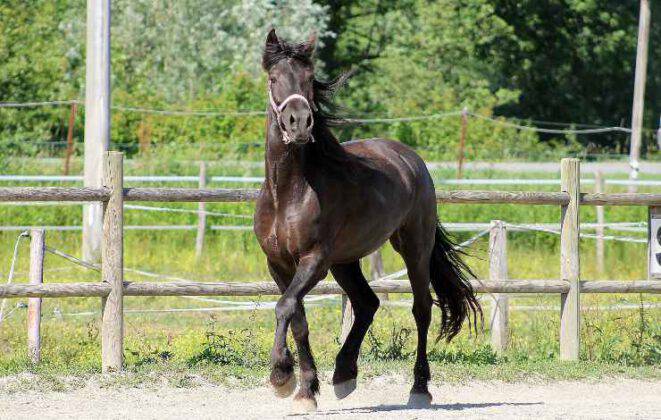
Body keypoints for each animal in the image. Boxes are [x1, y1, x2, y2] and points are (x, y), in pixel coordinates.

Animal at [253, 29, 481, 412]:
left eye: (309, 80)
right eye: (273, 79)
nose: (299, 123)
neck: (288, 192)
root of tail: (411, 159)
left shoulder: (314, 260)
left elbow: (285, 306)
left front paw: (280, 377)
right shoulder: (278, 264)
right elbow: (297, 317)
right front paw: (305, 390)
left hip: (413, 247)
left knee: (421, 309)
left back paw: (419, 389)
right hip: (346, 261)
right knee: (367, 303)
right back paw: (344, 375)